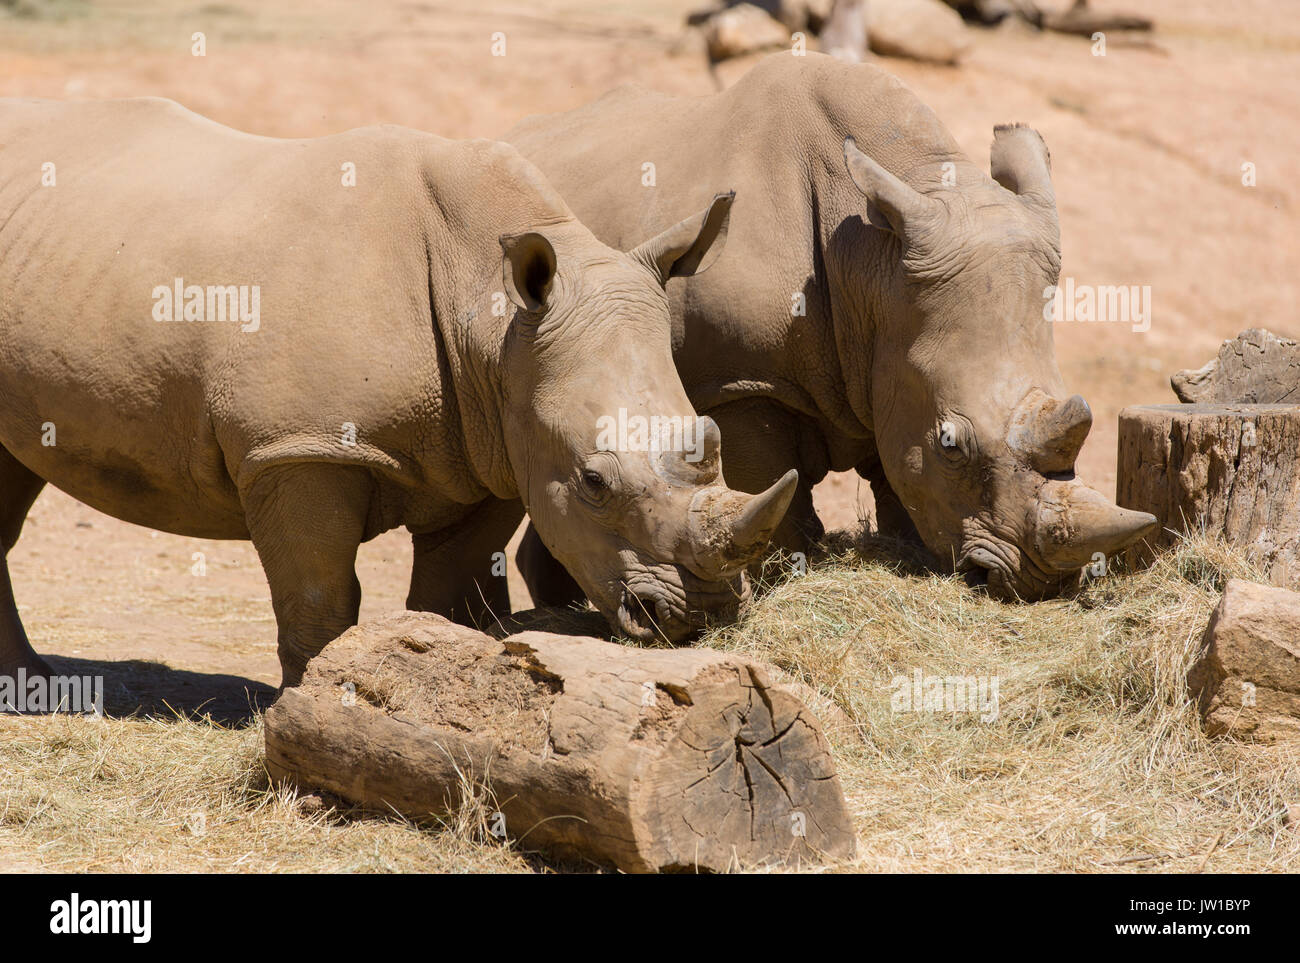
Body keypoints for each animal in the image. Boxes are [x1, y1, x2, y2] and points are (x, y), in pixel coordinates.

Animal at [0, 97, 797, 689]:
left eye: (709, 441)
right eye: (594, 482)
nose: (702, 616)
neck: (492, 319)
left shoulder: (495, 440)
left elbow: (452, 593)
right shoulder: (300, 448)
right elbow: (320, 599)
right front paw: (308, 716)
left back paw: (28, 688)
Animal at [504, 52, 1157, 603]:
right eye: (952, 444)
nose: (1039, 583)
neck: (873, 265)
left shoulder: (890, 360)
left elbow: (901, 484)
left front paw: (916, 557)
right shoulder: (741, 381)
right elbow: (775, 491)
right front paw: (782, 580)